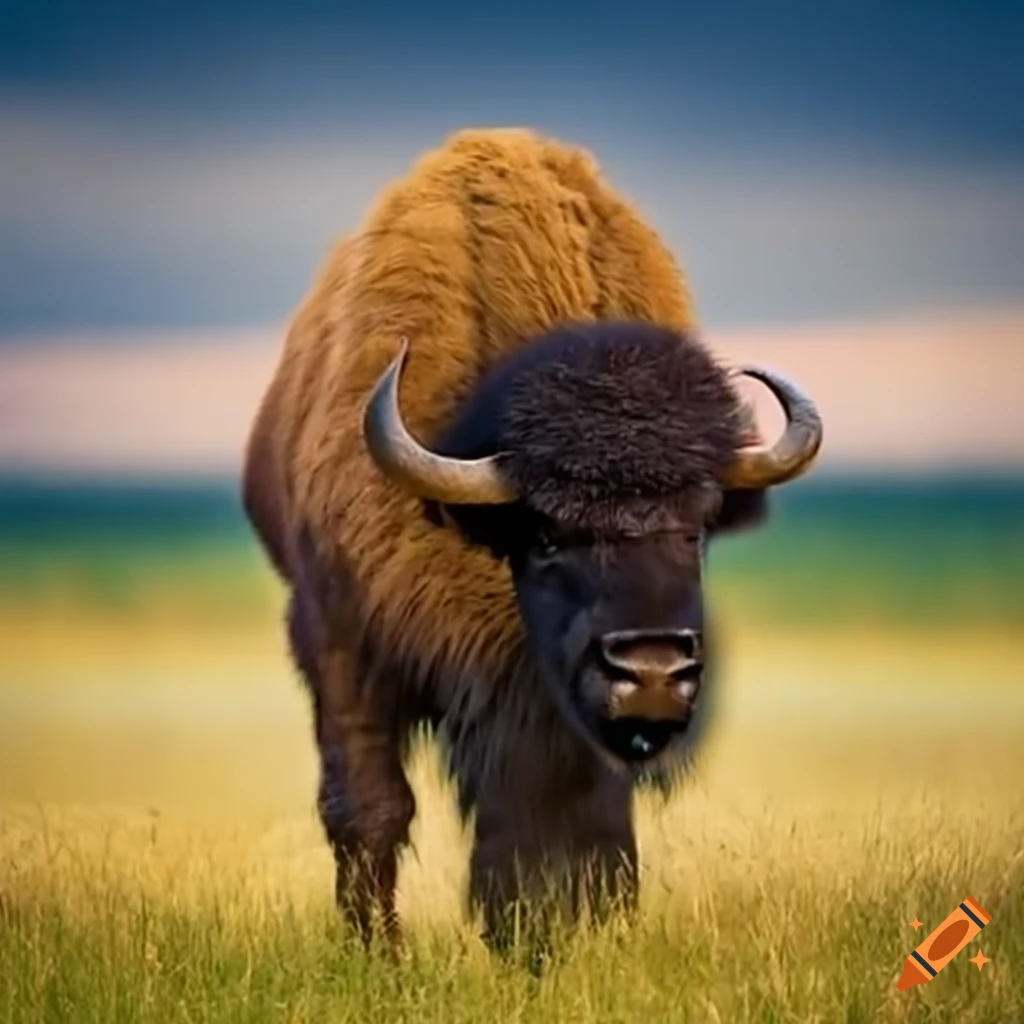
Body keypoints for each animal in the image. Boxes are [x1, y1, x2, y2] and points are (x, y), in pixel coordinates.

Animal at [241, 127, 822, 951]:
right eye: (546, 533)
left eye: (696, 529)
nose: (651, 670)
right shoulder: (339, 639)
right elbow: (370, 806)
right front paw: (379, 953)